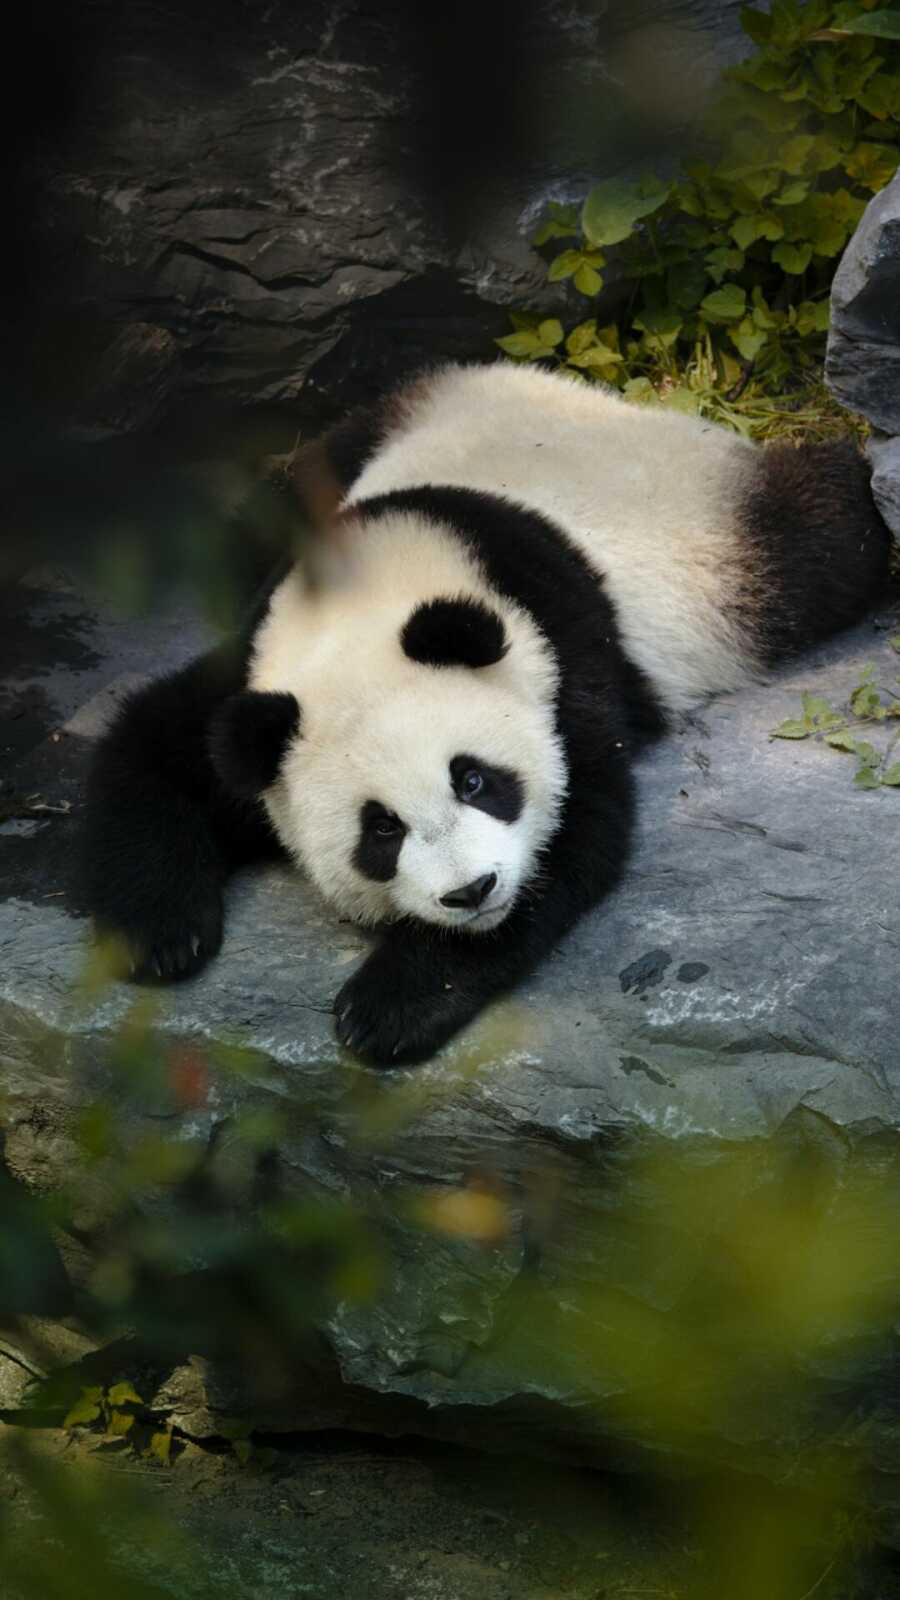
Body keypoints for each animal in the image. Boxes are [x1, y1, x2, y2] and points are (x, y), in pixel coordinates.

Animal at [83, 361, 891, 1066]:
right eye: (381, 829)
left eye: (473, 780)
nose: (472, 892)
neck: (378, 591)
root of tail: (605, 400)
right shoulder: (259, 671)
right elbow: (154, 740)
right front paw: (159, 932)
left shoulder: (561, 659)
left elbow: (578, 829)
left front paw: (389, 1006)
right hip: (379, 423)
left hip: (728, 545)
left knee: (827, 533)